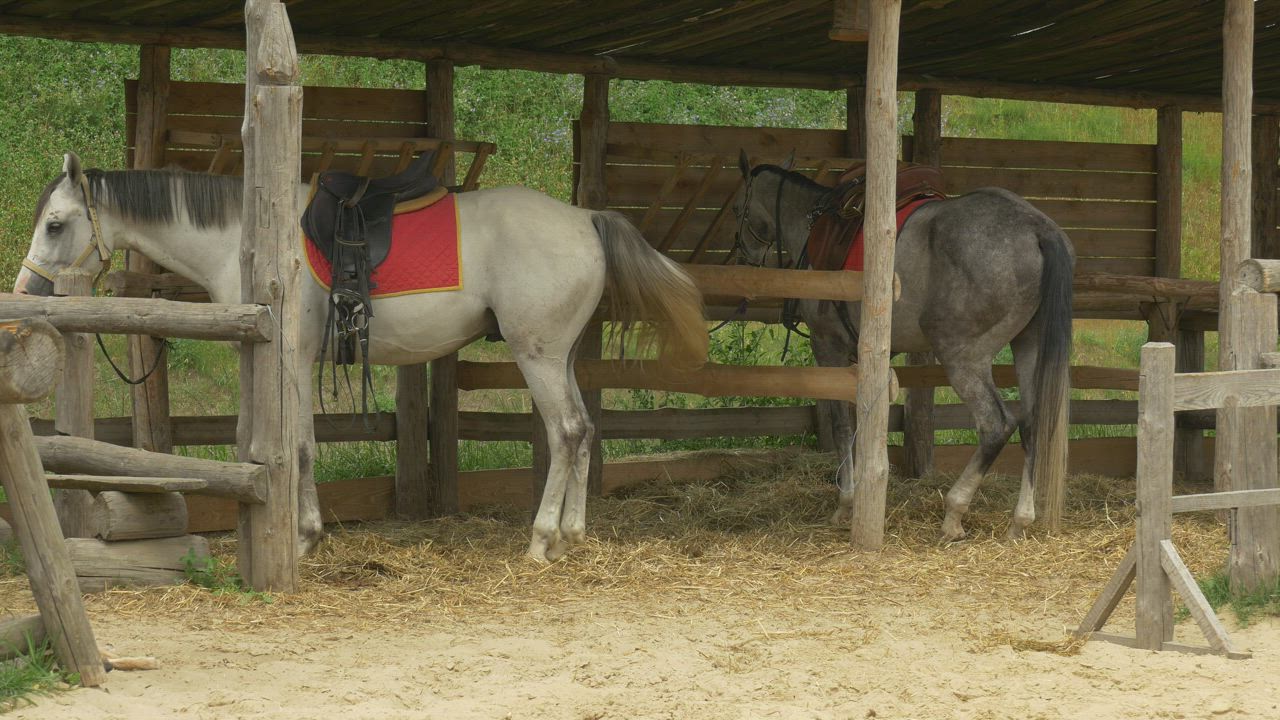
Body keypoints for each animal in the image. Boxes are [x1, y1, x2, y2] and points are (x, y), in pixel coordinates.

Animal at [15, 152, 708, 562]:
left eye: (55, 224)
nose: (26, 294)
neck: (246, 239)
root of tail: (586, 219)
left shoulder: (291, 361)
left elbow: (297, 447)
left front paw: (301, 538)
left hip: (536, 356)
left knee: (565, 432)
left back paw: (541, 543)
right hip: (557, 356)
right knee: (585, 431)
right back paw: (571, 535)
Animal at [732, 151, 1074, 540]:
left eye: (737, 209)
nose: (742, 258)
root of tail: (1037, 230)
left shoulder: (828, 347)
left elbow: (842, 426)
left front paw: (846, 502)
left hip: (963, 357)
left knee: (996, 425)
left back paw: (954, 512)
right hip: (1028, 346)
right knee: (1033, 424)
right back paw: (1020, 520)